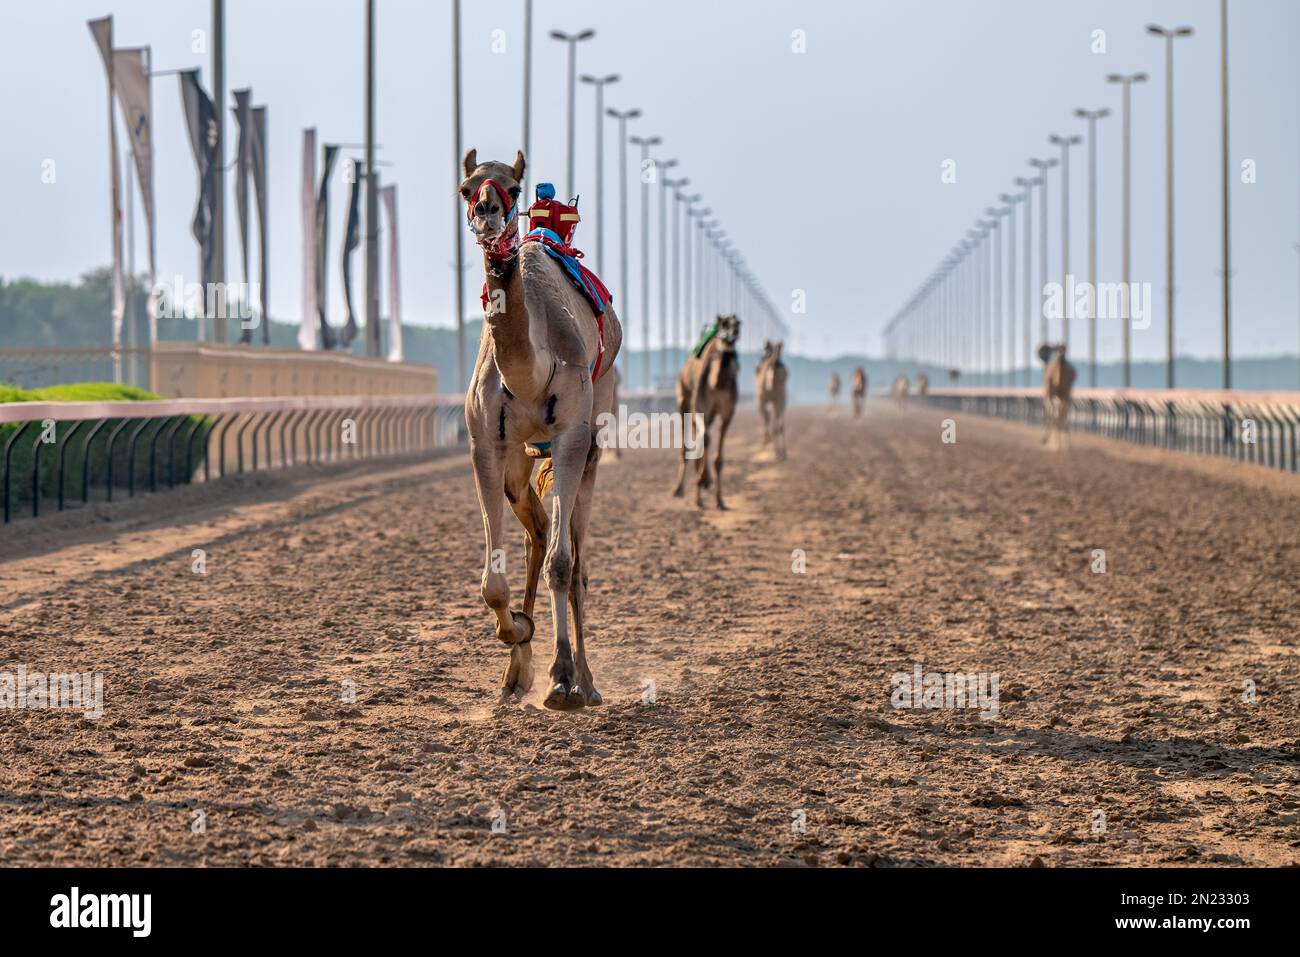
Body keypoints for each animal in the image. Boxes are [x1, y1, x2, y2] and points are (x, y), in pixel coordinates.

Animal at [459, 149, 623, 711]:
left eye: (512, 185)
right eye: (466, 187)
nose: (487, 212)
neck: (529, 368)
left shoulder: (572, 436)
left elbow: (563, 565)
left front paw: (562, 679)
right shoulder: (486, 445)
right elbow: (492, 581)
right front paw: (519, 635)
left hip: (594, 440)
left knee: (574, 556)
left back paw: (586, 682)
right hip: (520, 460)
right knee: (536, 534)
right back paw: (515, 677)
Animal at [673, 314, 741, 508]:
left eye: (738, 324)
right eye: (724, 324)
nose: (733, 334)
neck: (717, 383)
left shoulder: (728, 413)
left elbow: (718, 458)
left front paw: (719, 500)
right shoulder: (700, 406)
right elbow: (704, 438)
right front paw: (703, 480)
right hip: (684, 400)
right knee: (688, 443)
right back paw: (681, 490)